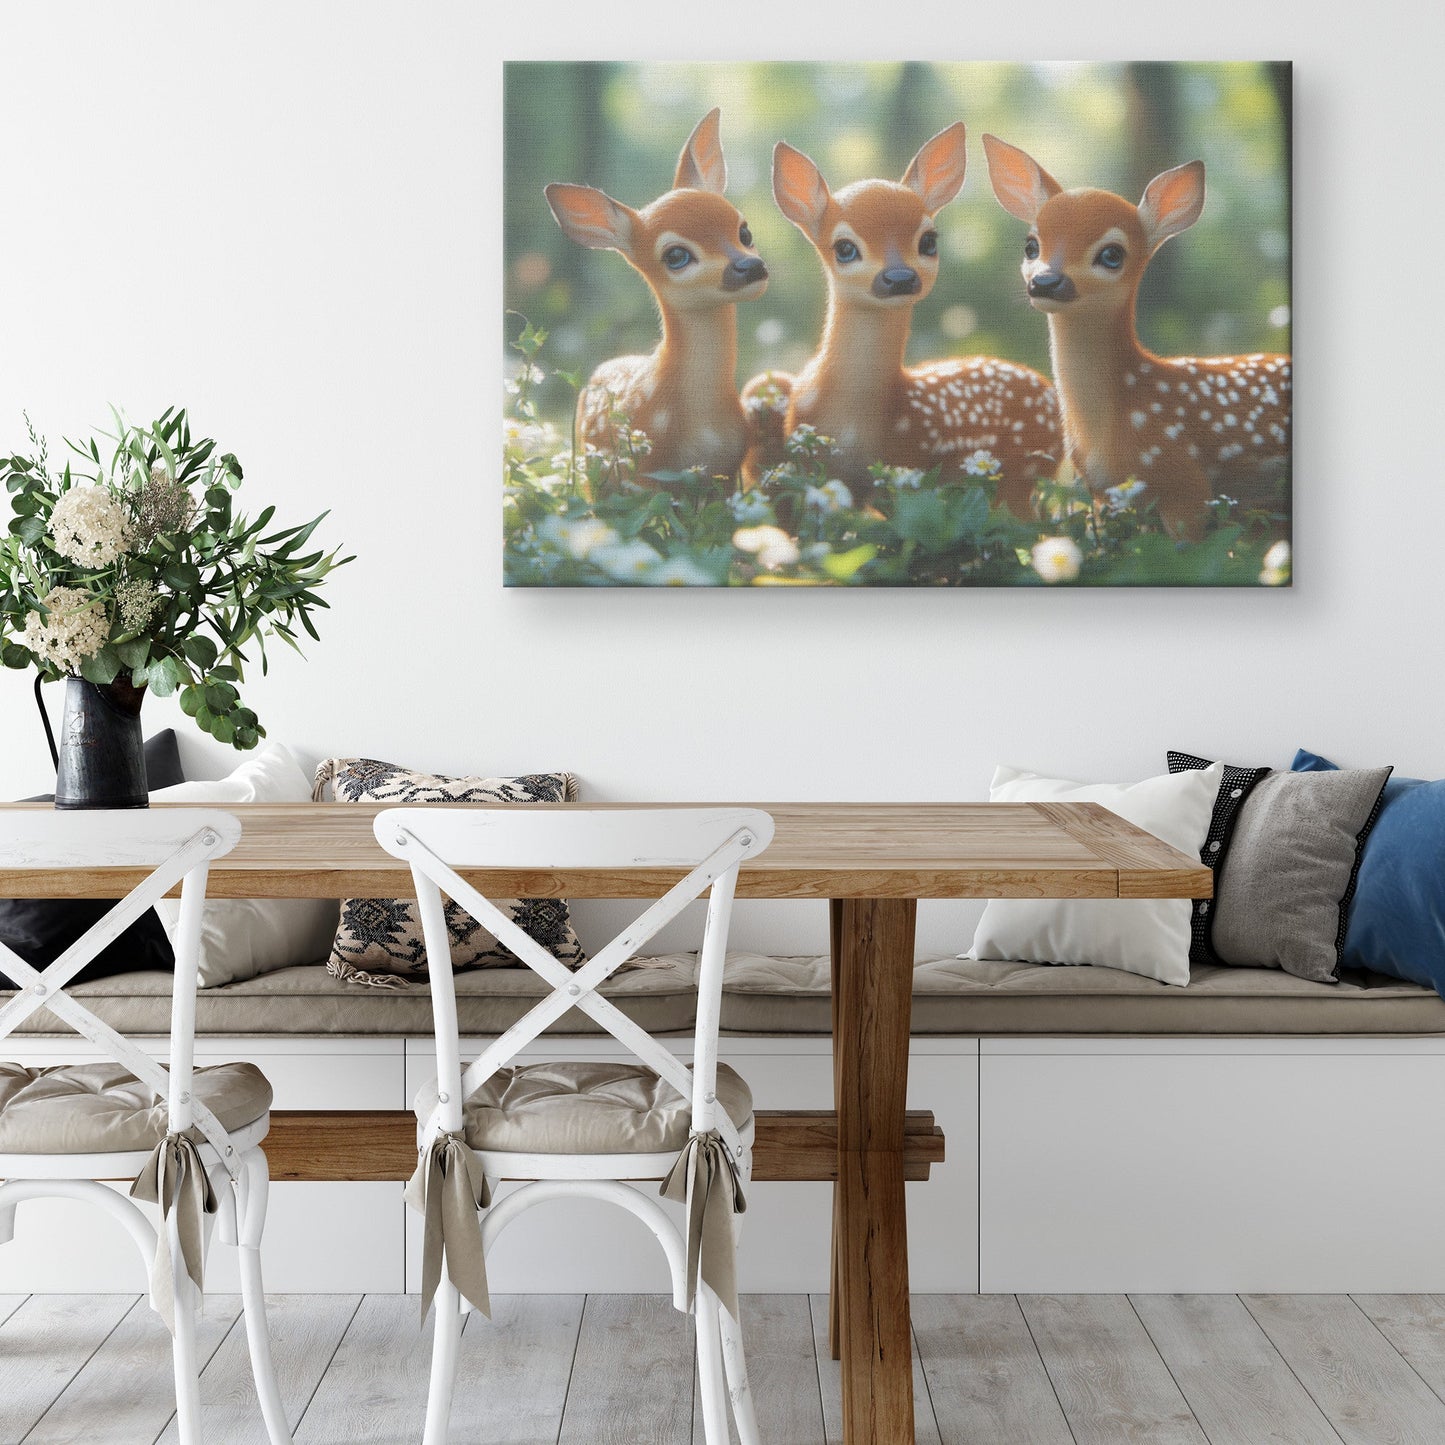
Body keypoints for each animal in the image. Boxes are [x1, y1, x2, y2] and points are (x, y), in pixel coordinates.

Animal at [745, 123, 1060, 516]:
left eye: (928, 241)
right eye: (844, 248)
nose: (899, 277)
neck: (858, 420)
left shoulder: (904, 468)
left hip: (1020, 476)